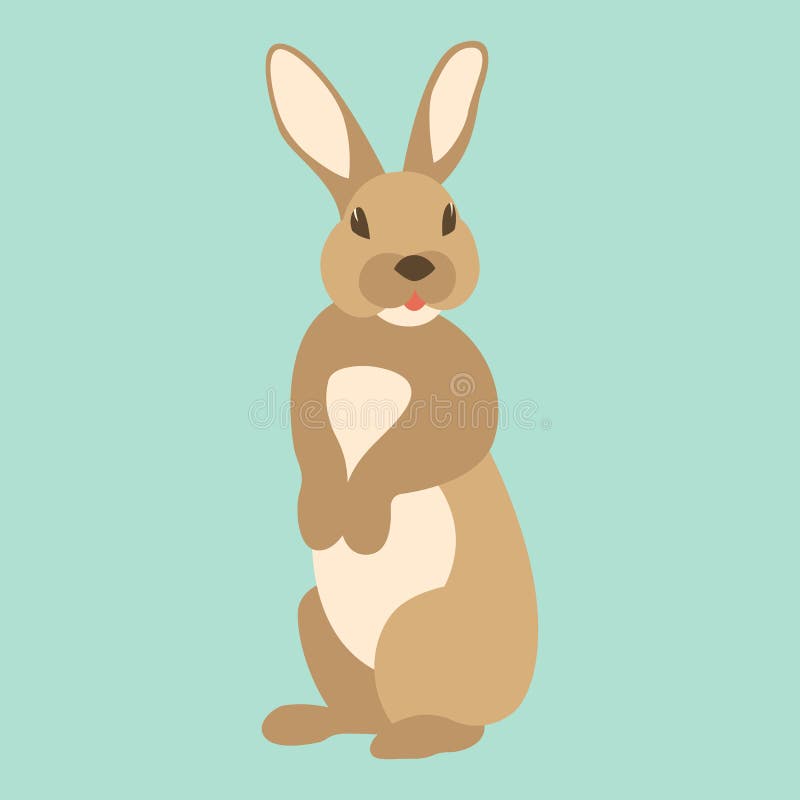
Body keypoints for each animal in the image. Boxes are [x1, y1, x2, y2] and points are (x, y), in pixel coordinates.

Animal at [260, 42, 537, 759]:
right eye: (356, 221)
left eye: (450, 215)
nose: (416, 268)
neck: (388, 334)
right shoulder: (310, 389)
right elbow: (314, 447)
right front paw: (319, 521)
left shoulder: (456, 401)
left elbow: (415, 453)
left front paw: (361, 527)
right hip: (315, 618)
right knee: (361, 709)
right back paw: (304, 724)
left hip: (417, 635)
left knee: (454, 725)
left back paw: (409, 741)